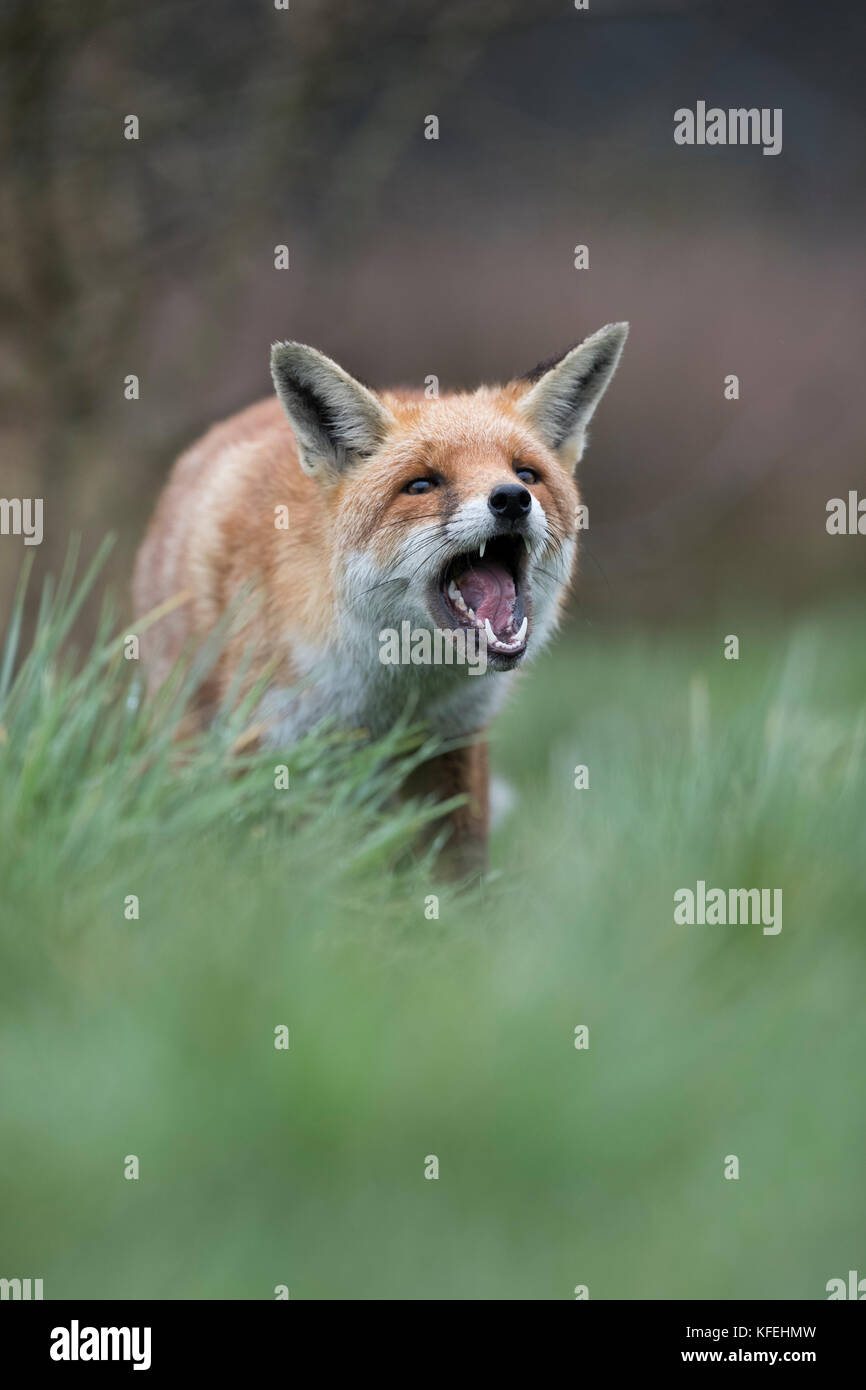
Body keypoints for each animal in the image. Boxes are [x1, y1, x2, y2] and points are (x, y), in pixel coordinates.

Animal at [132, 322, 628, 873]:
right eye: (422, 484)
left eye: (526, 475)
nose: (511, 500)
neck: (392, 690)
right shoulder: (267, 741)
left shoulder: (454, 741)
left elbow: (457, 874)